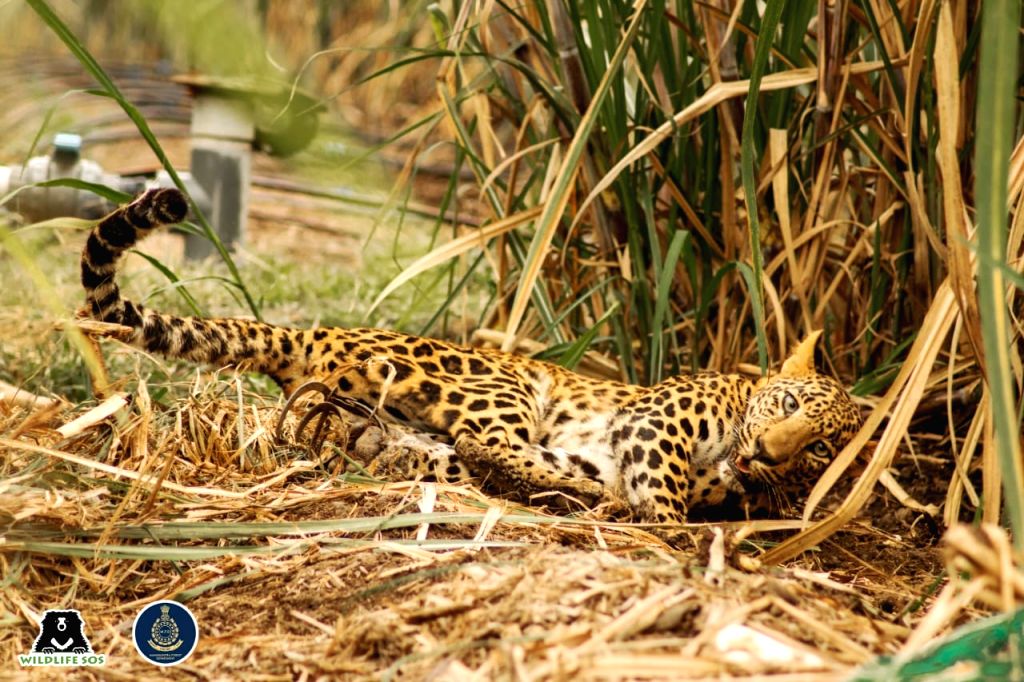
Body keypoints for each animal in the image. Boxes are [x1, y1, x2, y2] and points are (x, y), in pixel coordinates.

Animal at [78, 188, 863, 523]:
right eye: (788, 403)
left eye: (822, 447)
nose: (770, 450)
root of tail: (317, 334)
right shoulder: (651, 426)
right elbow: (665, 497)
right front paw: (672, 538)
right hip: (498, 382)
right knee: (486, 442)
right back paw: (577, 498)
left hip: (379, 428)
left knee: (436, 452)